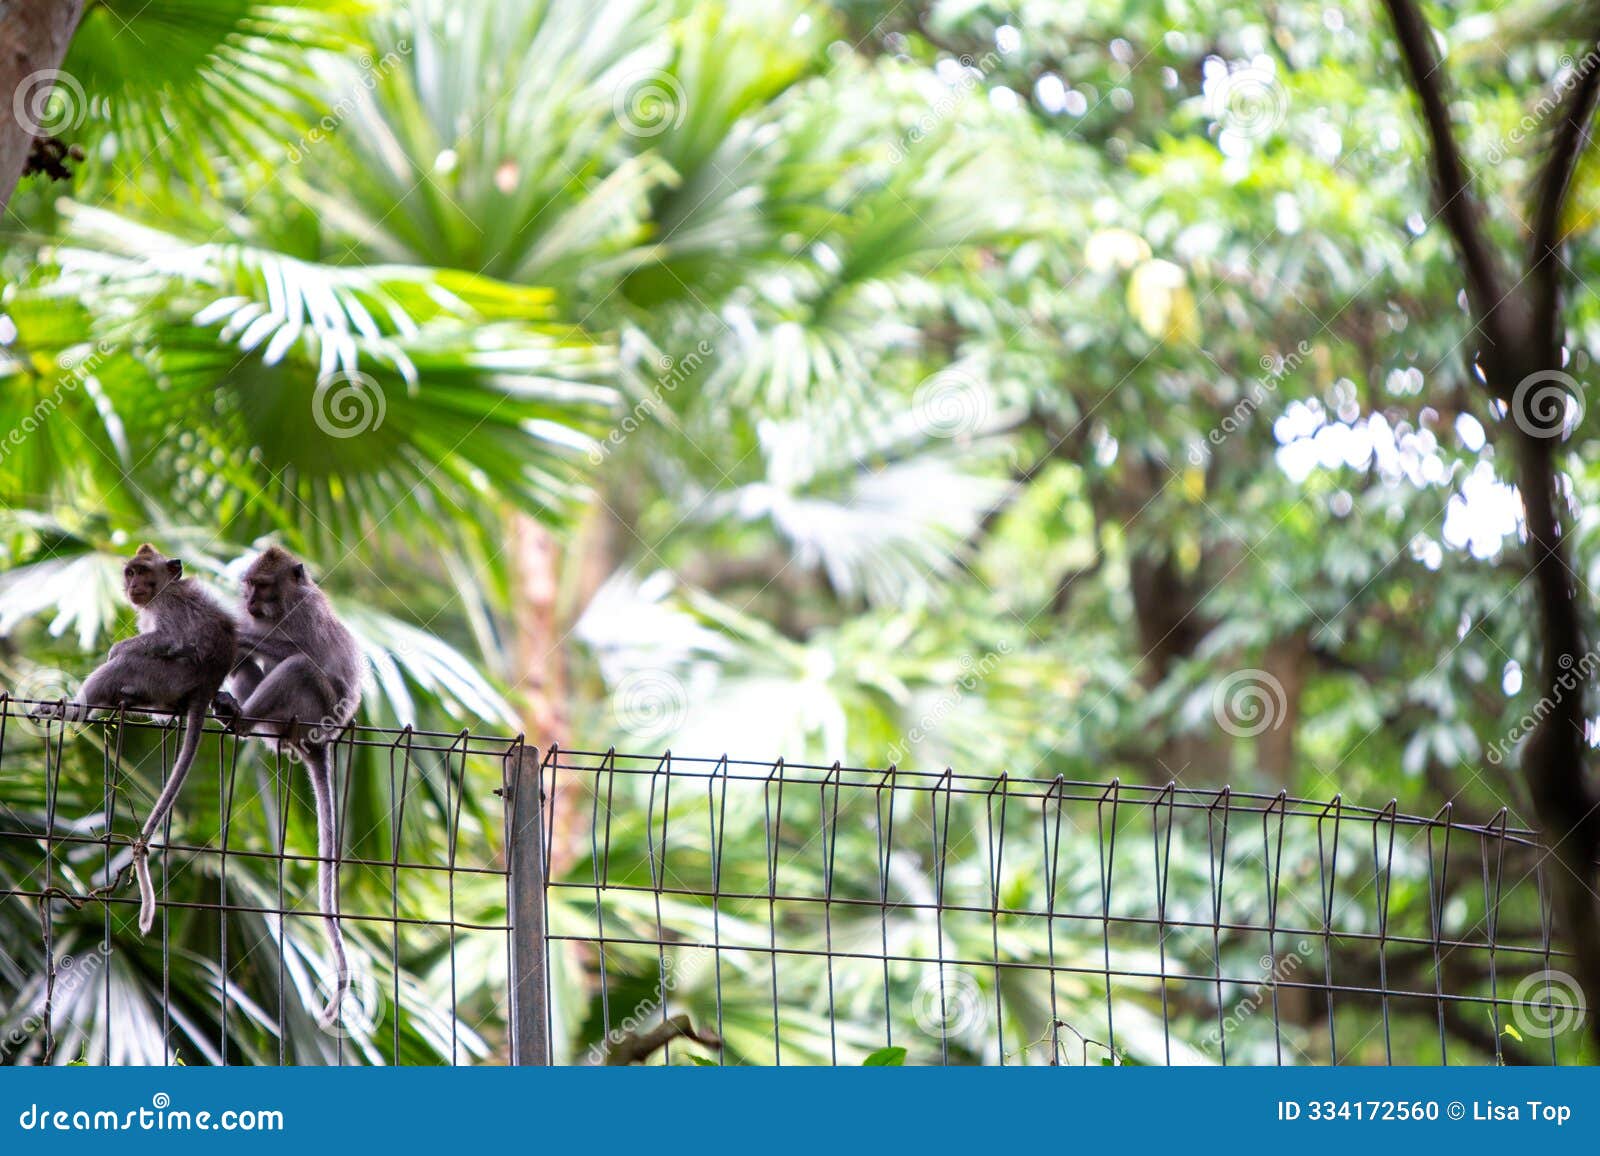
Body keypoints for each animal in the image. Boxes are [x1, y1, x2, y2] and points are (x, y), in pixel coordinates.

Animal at [31, 544, 236, 935]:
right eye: (130, 572)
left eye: (143, 571)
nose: (134, 585)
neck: (166, 588)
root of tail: (206, 685)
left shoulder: (166, 607)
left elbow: (169, 640)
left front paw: (117, 648)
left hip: (164, 676)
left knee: (129, 663)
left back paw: (77, 708)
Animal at [225, 545, 362, 1027]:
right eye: (249, 585)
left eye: (263, 586)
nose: (249, 602)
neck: (283, 606)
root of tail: (317, 743)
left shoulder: (306, 615)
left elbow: (296, 649)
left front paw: (235, 630)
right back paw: (238, 717)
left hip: (312, 710)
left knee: (299, 666)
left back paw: (241, 718)